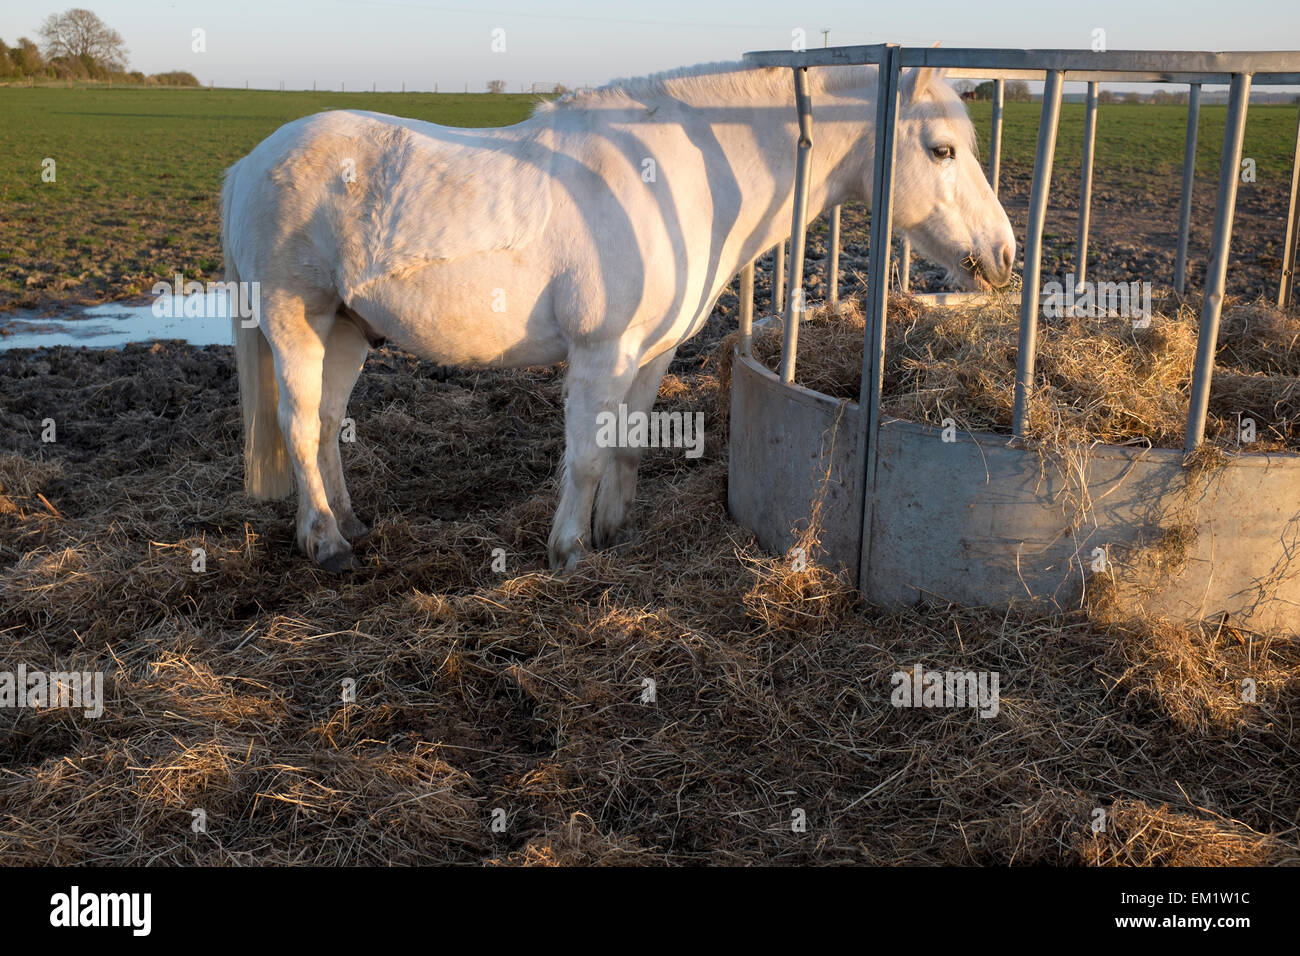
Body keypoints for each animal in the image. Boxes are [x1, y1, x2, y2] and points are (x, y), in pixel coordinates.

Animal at [221, 61, 1015, 573]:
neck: (673, 176)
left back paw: (349, 521)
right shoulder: (602, 350)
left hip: (347, 329)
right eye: (941, 150)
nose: (1003, 254)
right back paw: (326, 542)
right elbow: (585, 454)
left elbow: (627, 443)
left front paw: (613, 532)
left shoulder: (652, 350)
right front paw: (569, 552)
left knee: (325, 423)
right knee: (298, 425)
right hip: (297, 321)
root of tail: (248, 165)